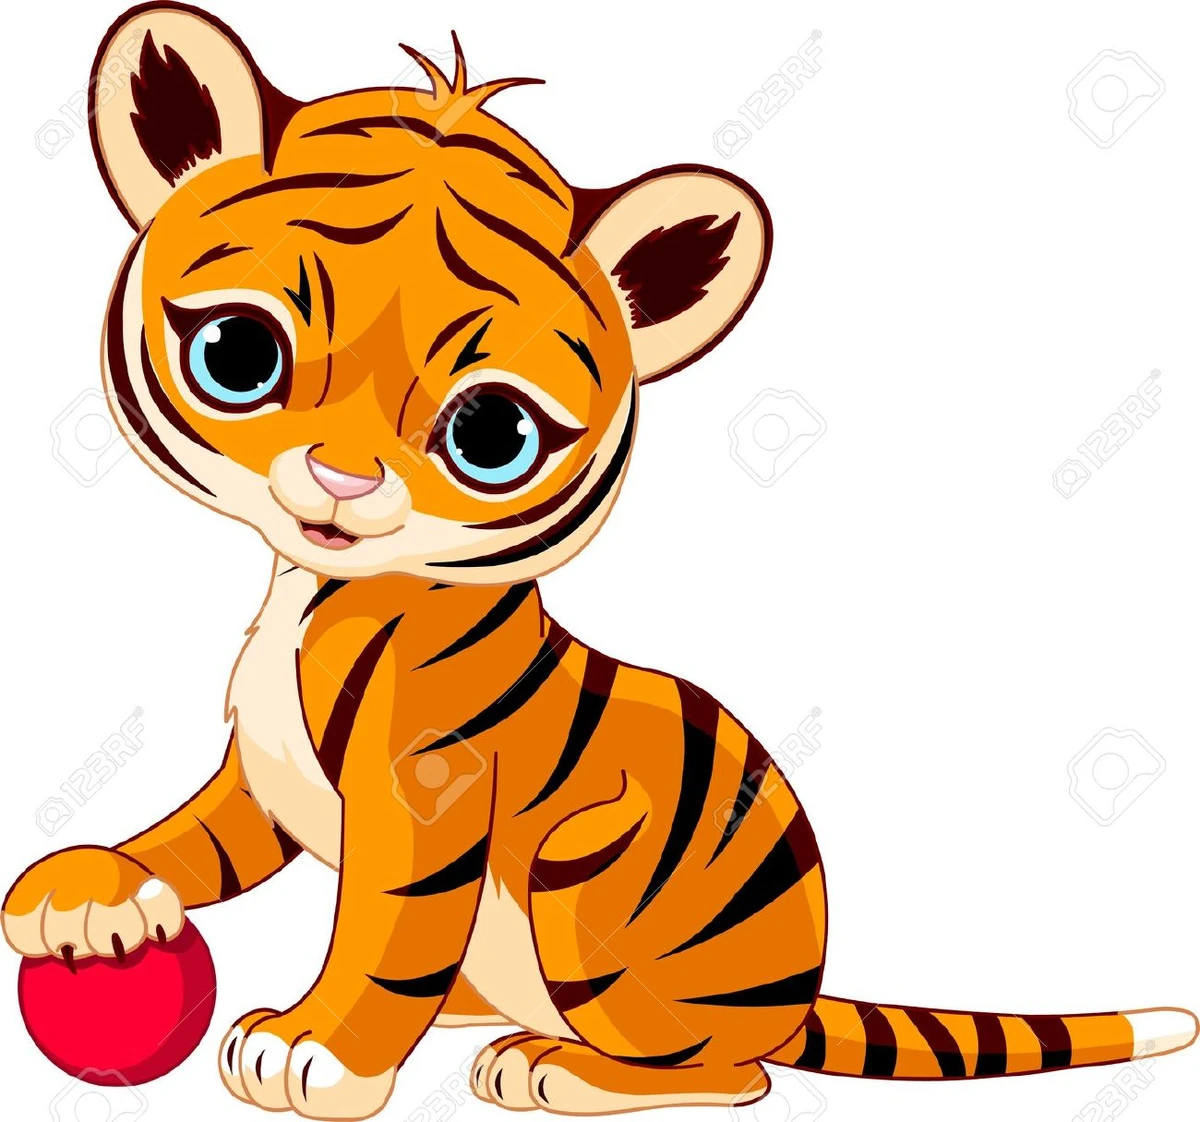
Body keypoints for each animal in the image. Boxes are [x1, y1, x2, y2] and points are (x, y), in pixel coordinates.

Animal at [4, 5, 1196, 1120]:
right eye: (239, 355)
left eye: (492, 435)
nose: (342, 481)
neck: (312, 590)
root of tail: (800, 993)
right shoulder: (264, 771)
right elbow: (193, 839)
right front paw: (86, 892)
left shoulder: (421, 800)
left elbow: (384, 942)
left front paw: (316, 1052)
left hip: (593, 883)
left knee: (729, 1075)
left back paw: (548, 1065)